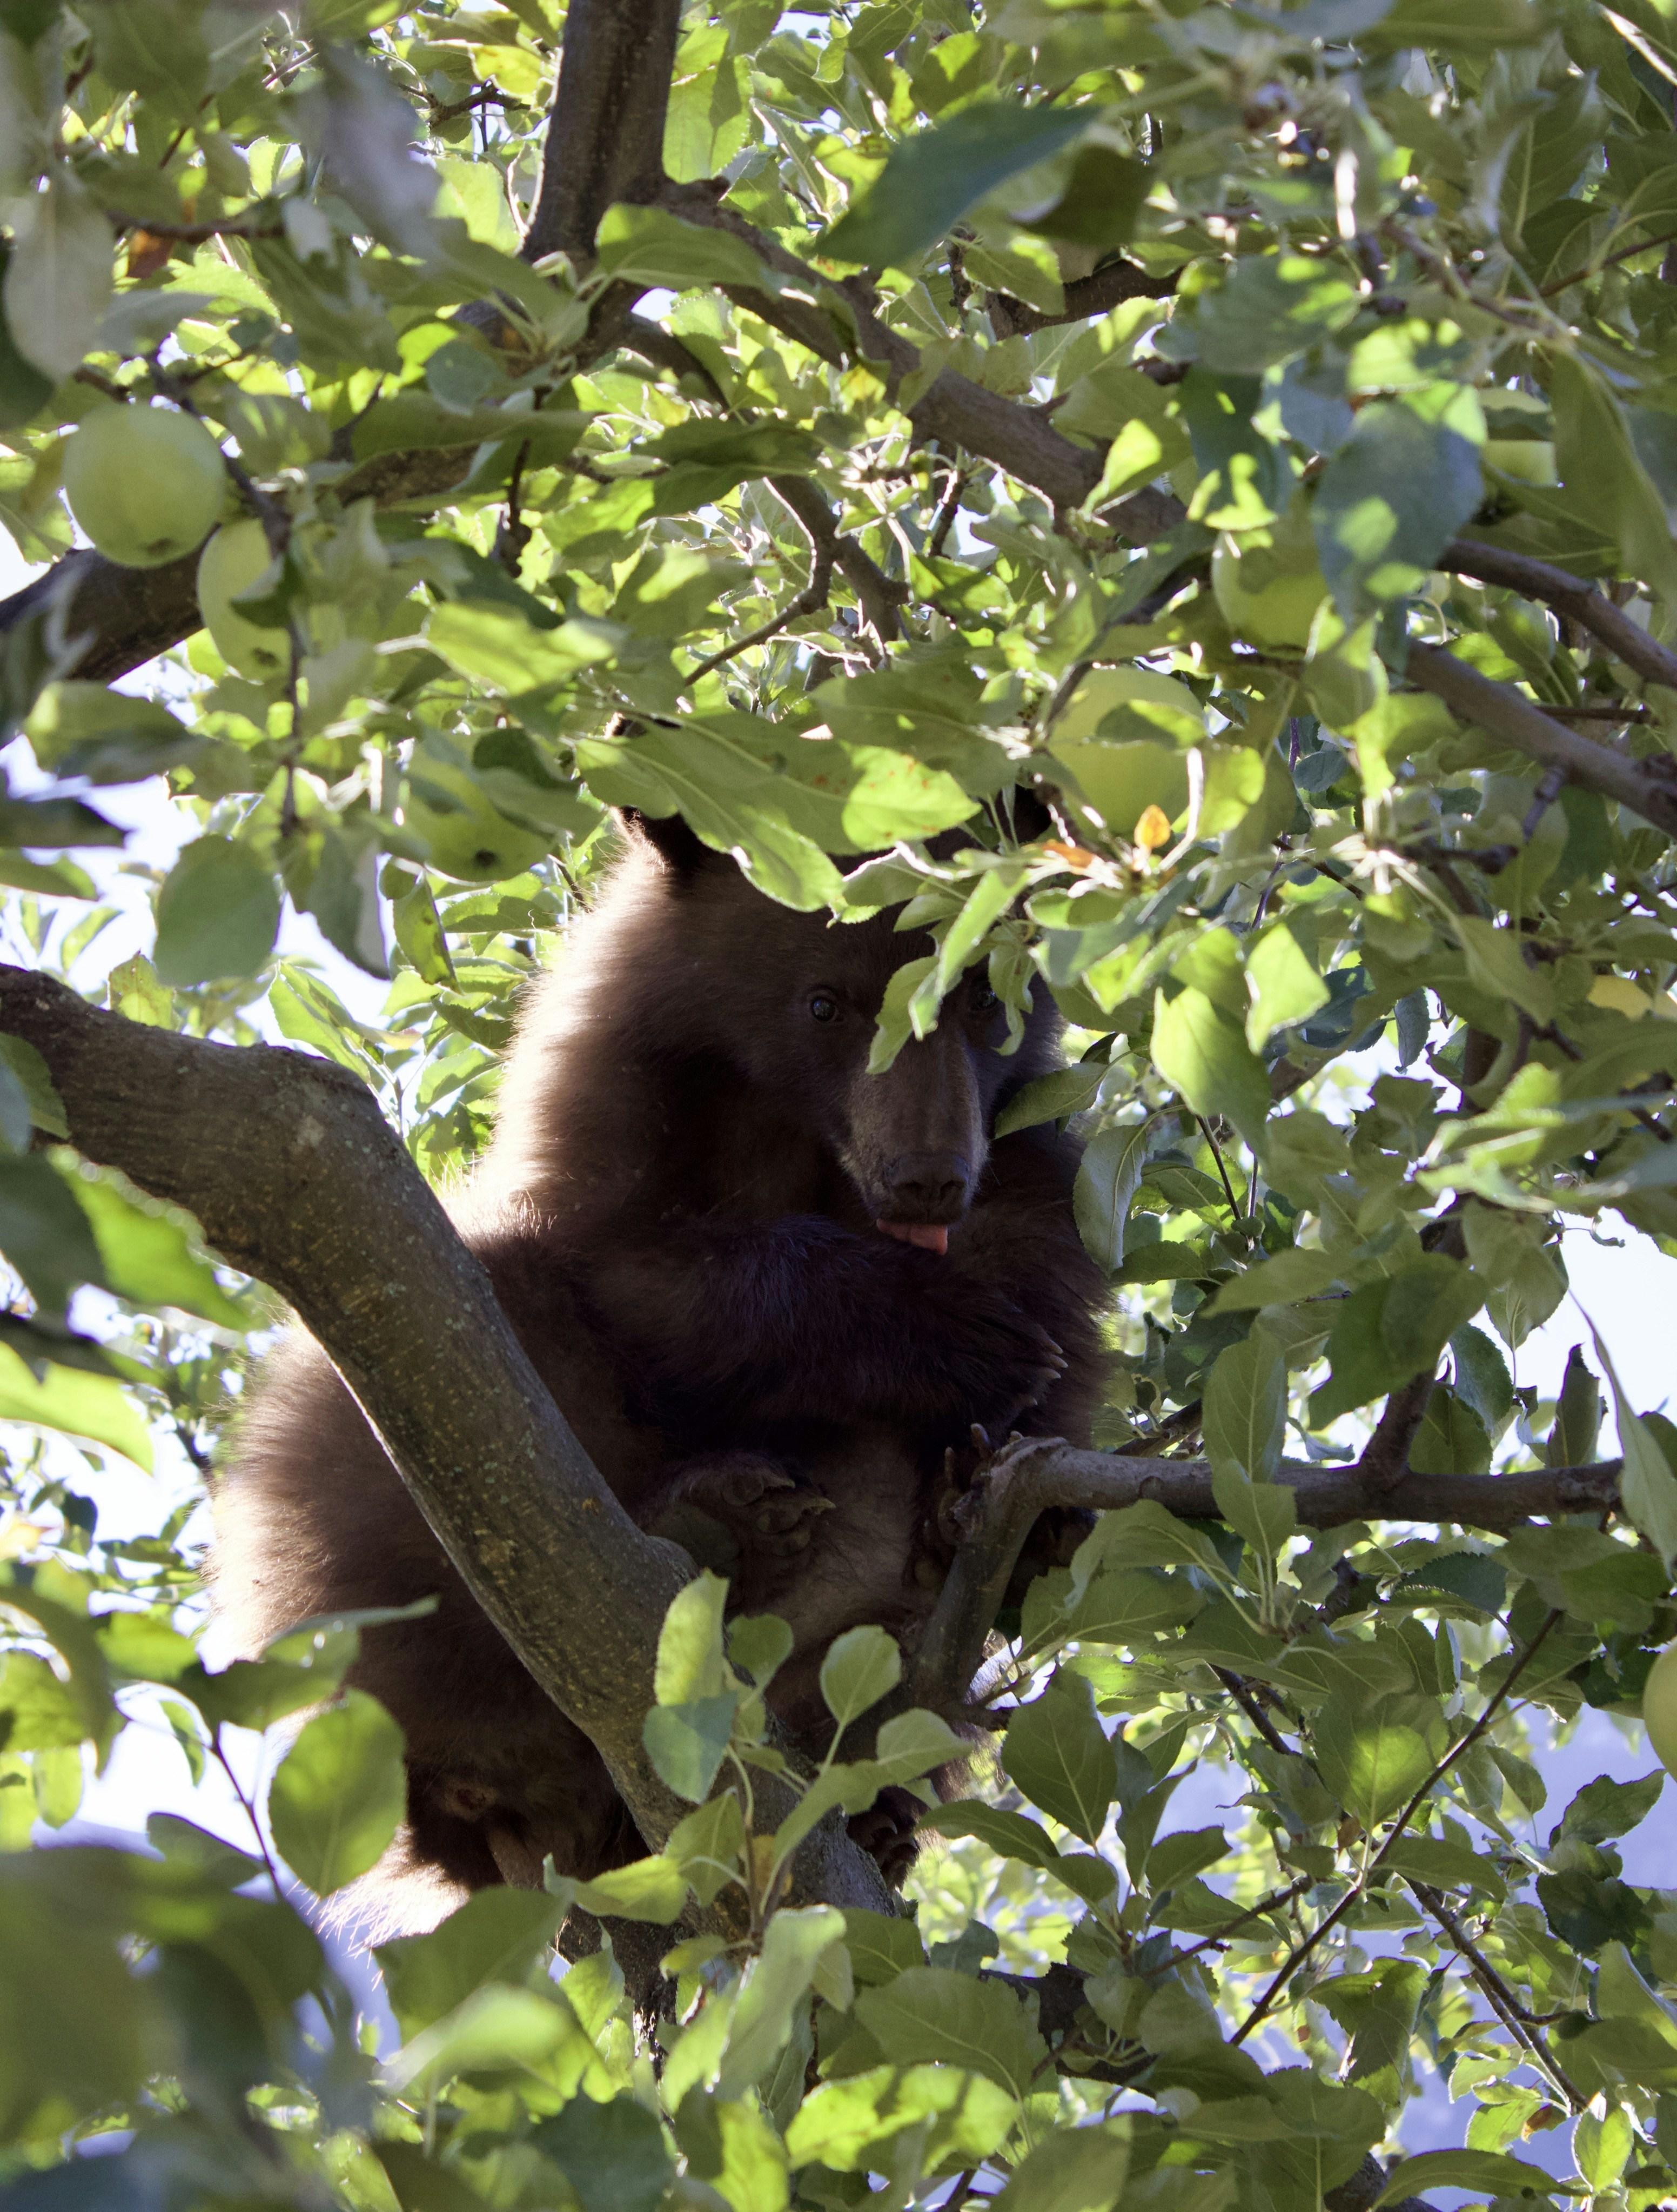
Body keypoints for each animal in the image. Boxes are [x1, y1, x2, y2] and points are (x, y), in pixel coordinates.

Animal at [210, 811, 1109, 1929]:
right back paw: (706, 1523)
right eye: (822, 1001)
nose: (927, 1177)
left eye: (981, 996)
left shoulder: (1034, 1159)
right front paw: (957, 1327)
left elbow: (1056, 1301)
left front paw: (999, 1441)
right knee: (455, 1335)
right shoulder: (606, 1104)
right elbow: (645, 1271)